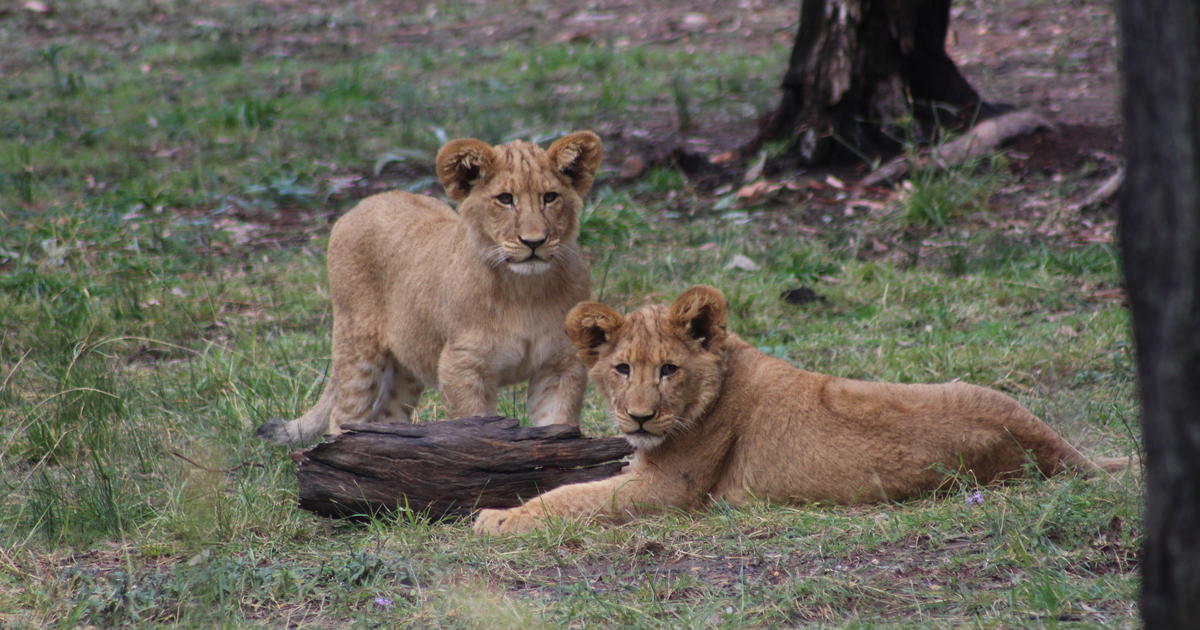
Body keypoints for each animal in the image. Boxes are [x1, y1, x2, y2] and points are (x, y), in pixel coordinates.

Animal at [256, 131, 603, 445]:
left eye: (550, 197)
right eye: (505, 199)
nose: (534, 242)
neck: (525, 289)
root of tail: (365, 202)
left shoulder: (560, 366)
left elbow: (557, 423)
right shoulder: (462, 367)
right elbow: (476, 428)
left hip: (406, 363)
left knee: (387, 416)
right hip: (358, 346)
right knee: (342, 416)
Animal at [474, 285, 1131, 533]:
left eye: (668, 370)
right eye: (620, 370)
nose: (638, 417)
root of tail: (1043, 438)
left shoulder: (669, 491)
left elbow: (573, 499)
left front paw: (498, 519)